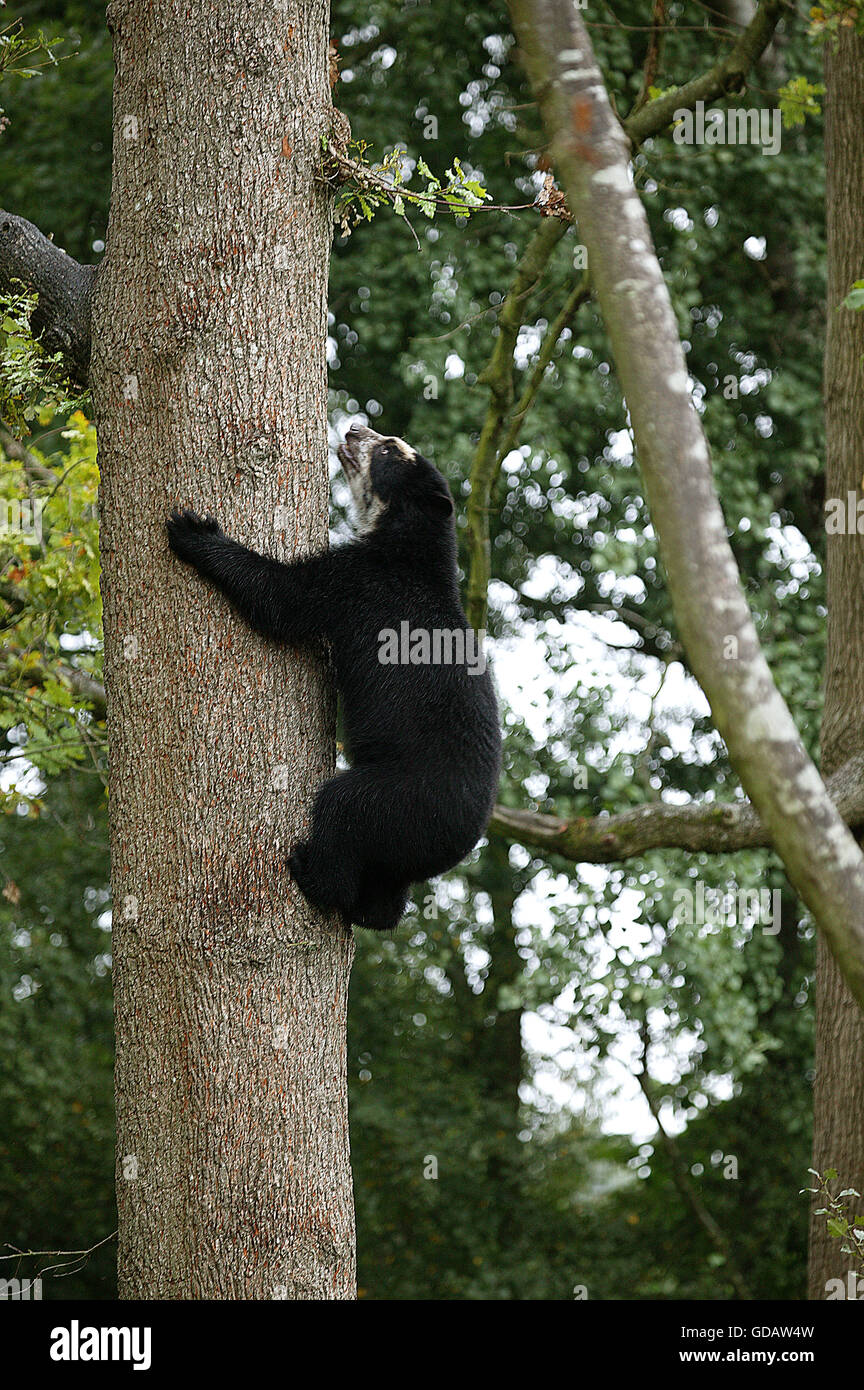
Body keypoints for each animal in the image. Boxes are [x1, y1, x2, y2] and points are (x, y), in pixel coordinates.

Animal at [166, 423, 501, 932]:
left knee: (342, 811)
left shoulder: (358, 582)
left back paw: (309, 872)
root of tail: (457, 849)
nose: (354, 427)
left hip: (402, 801)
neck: (408, 548)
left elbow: (284, 599)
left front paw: (192, 531)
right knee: (386, 898)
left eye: (389, 449)